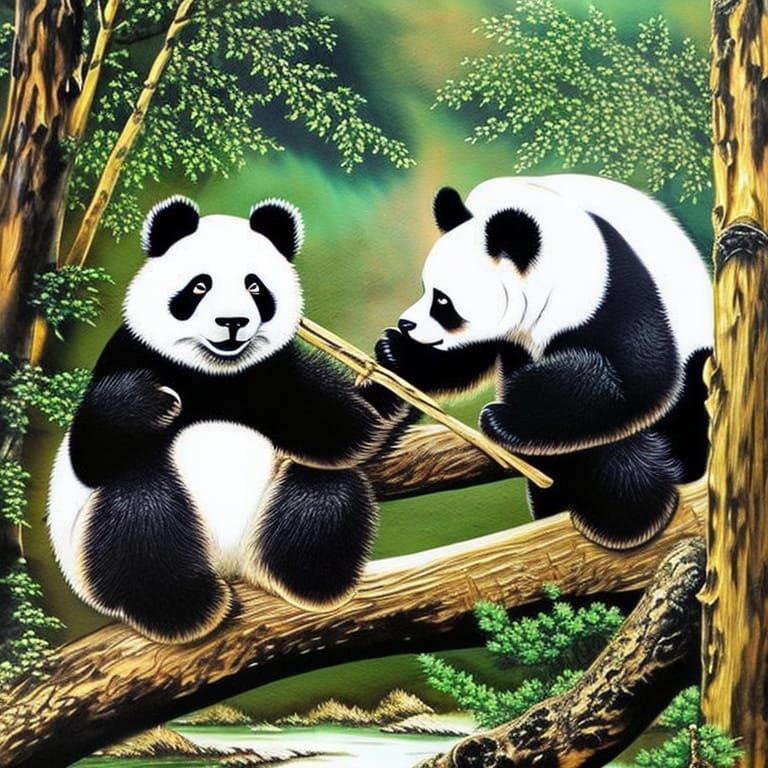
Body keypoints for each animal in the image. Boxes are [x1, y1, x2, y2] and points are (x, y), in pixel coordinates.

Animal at [47, 196, 406, 643]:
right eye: (200, 286)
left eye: (255, 286)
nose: (232, 323)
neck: (215, 372)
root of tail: (227, 562)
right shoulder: (128, 355)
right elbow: (89, 454)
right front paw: (152, 400)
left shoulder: (277, 374)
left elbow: (354, 430)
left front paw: (395, 364)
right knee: (138, 509)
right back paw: (187, 608)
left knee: (325, 489)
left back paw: (308, 580)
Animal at [375, 174, 712, 549]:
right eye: (425, 289)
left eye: (443, 302)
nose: (406, 323)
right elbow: (469, 357)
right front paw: (397, 352)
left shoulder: (612, 293)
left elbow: (635, 382)